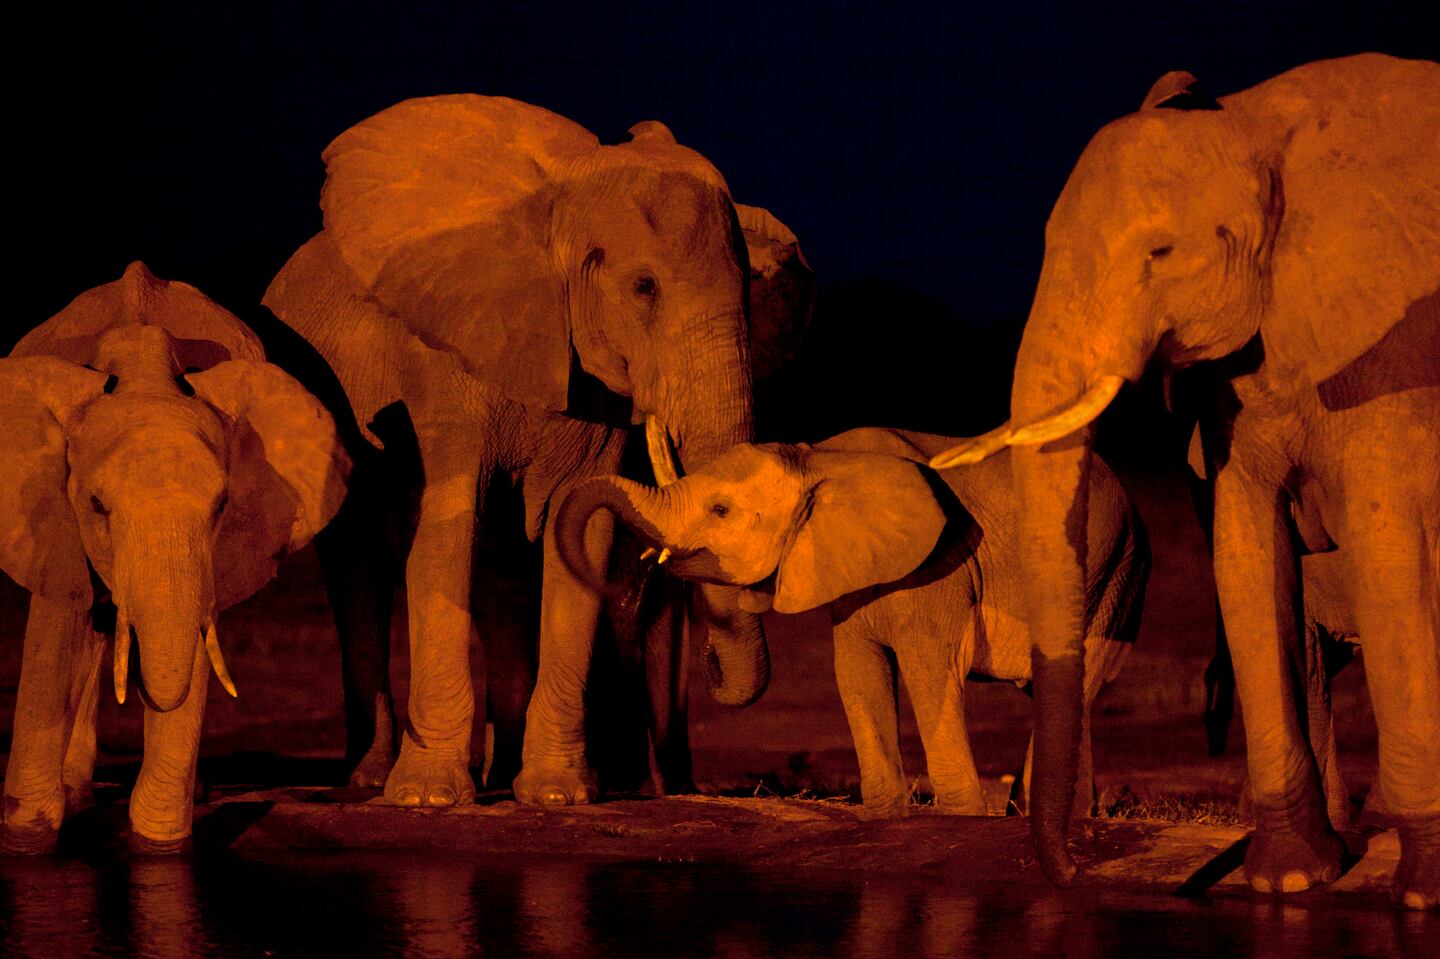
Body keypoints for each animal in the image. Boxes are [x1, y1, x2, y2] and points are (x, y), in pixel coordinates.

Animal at [0, 263, 348, 852]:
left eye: (222, 506)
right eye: (96, 506)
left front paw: (158, 846)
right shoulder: (49, 517)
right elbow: (56, 635)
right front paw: (26, 838)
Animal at [263, 95, 810, 807]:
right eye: (644, 287)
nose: (716, 669)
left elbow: (581, 537)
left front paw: (556, 795)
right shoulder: (444, 354)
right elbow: (445, 535)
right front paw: (427, 798)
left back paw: (498, 776)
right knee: (359, 571)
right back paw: (371, 778)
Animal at [553, 429, 1148, 818]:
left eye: (720, 510)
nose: (622, 581)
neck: (819, 459)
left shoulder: (943, 560)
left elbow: (930, 672)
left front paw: (960, 816)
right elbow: (857, 673)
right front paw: (886, 814)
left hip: (1111, 571)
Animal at [929, 54, 1439, 908]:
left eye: (1161, 254)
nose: (1076, 870)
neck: (1257, 130)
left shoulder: (1391, 342)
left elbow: (1390, 550)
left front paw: (1423, 892)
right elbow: (1246, 552)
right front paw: (1287, 882)